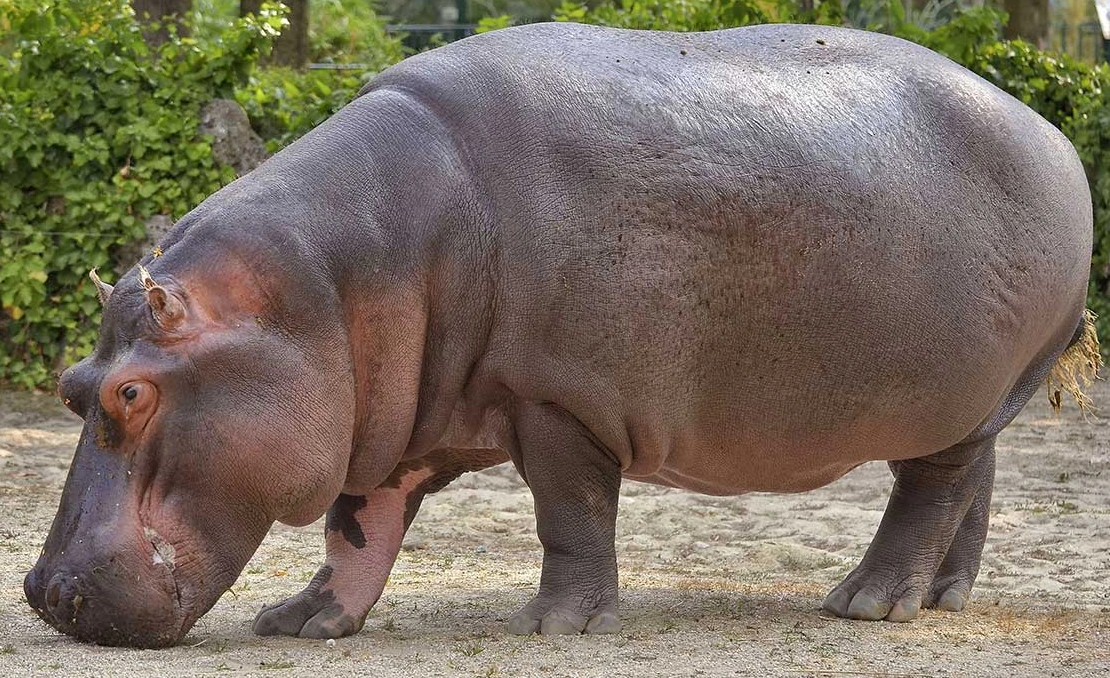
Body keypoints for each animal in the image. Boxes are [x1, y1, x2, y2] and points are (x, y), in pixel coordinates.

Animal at [24, 22, 1100, 648]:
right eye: (73, 382)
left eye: (131, 393)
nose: (40, 590)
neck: (320, 286)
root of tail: (1051, 135)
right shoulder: (382, 419)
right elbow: (355, 524)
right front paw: (302, 621)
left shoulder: (556, 400)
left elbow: (569, 514)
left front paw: (553, 624)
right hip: (980, 397)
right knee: (972, 486)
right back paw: (944, 598)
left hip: (956, 395)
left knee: (929, 495)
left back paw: (867, 601)